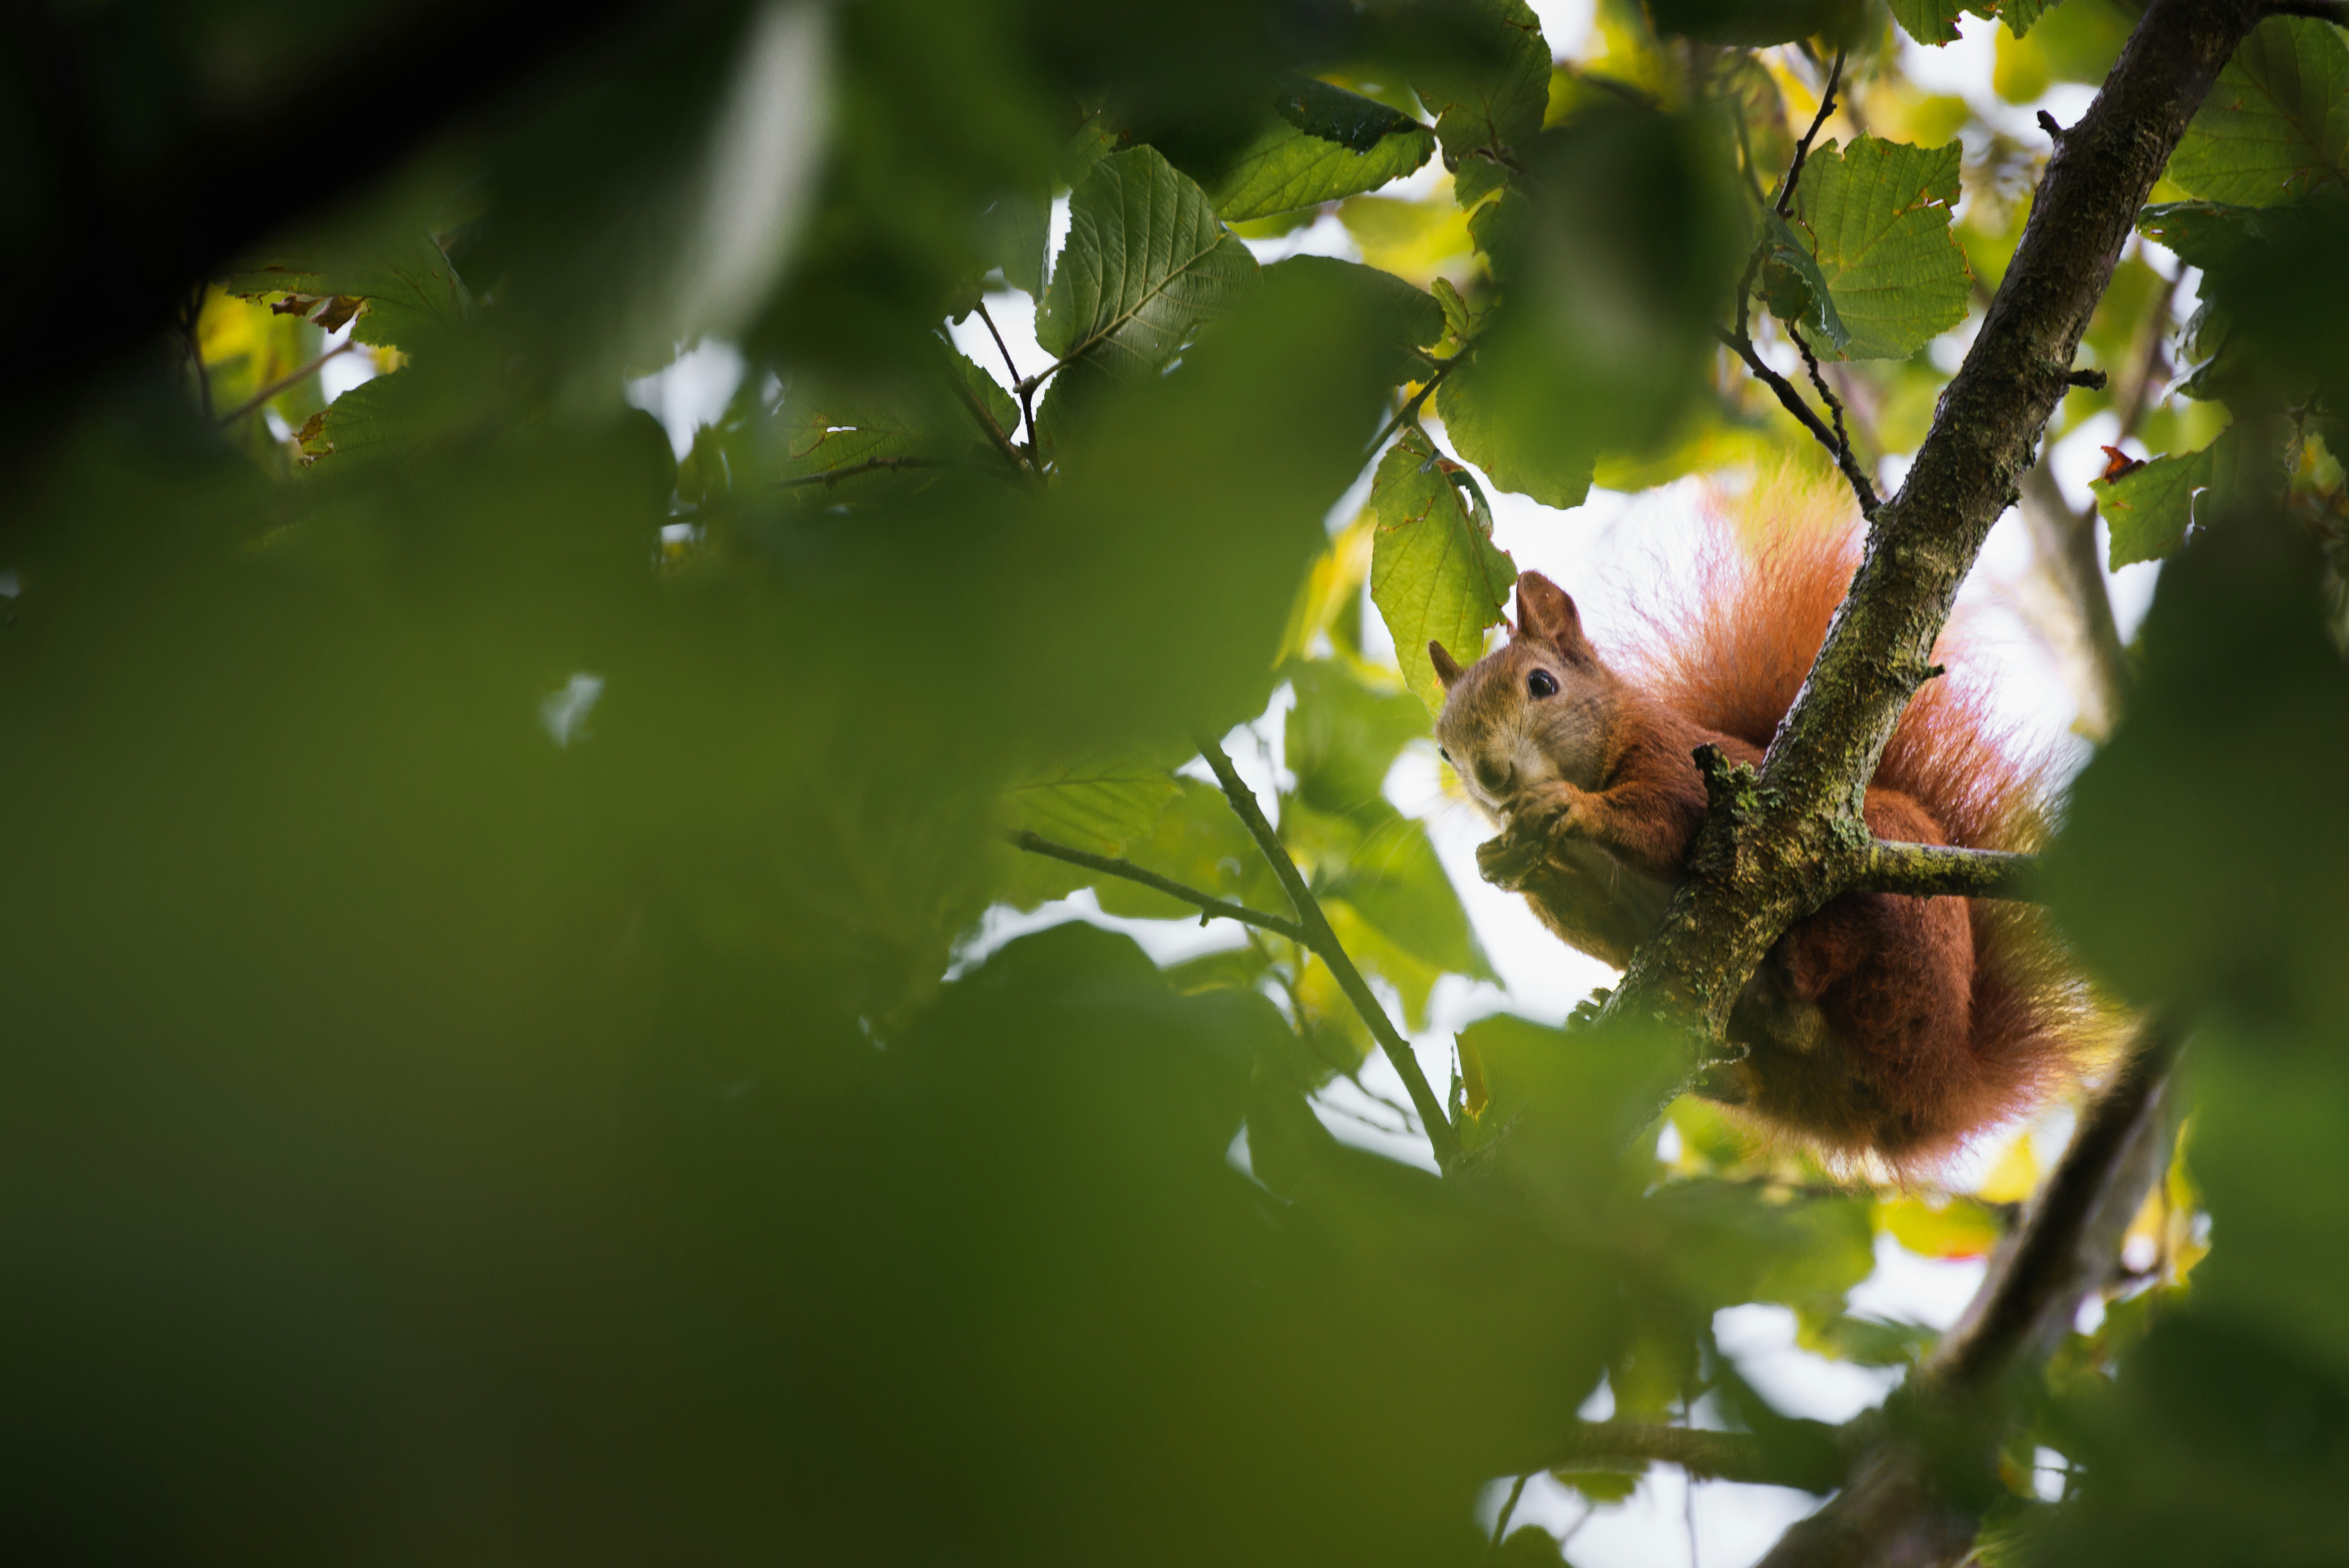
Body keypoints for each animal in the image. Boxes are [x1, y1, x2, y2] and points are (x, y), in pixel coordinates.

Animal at [1429, 524, 2095, 1168]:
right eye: (1443, 748)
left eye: (1542, 683)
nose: (1491, 776)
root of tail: (1946, 1084)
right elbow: (1595, 920)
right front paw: (1509, 863)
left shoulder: (1680, 768)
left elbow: (1664, 824)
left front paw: (1568, 807)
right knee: (1749, 1081)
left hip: (1896, 912)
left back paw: (1797, 966)